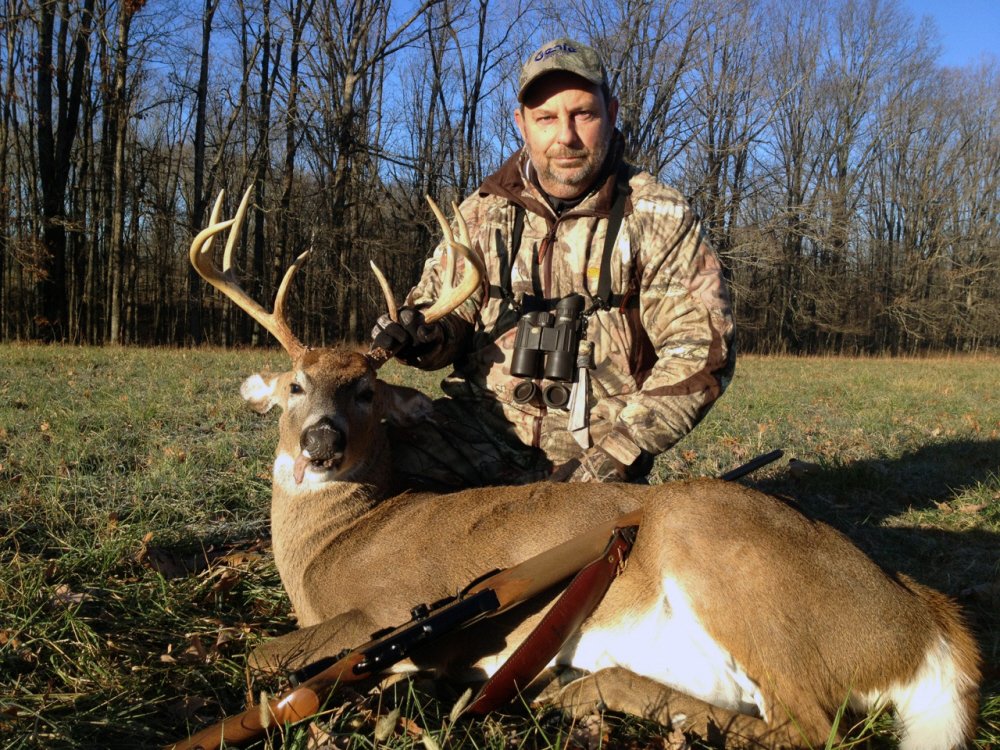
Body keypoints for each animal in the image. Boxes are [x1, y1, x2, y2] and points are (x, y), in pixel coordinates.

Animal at [188, 187, 981, 750]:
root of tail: (925, 628)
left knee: (813, 730)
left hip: (737, 569)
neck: (328, 550)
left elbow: (265, 656)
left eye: (365, 392)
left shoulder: (387, 606)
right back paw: (579, 687)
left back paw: (579, 690)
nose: (320, 443)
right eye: (295, 385)